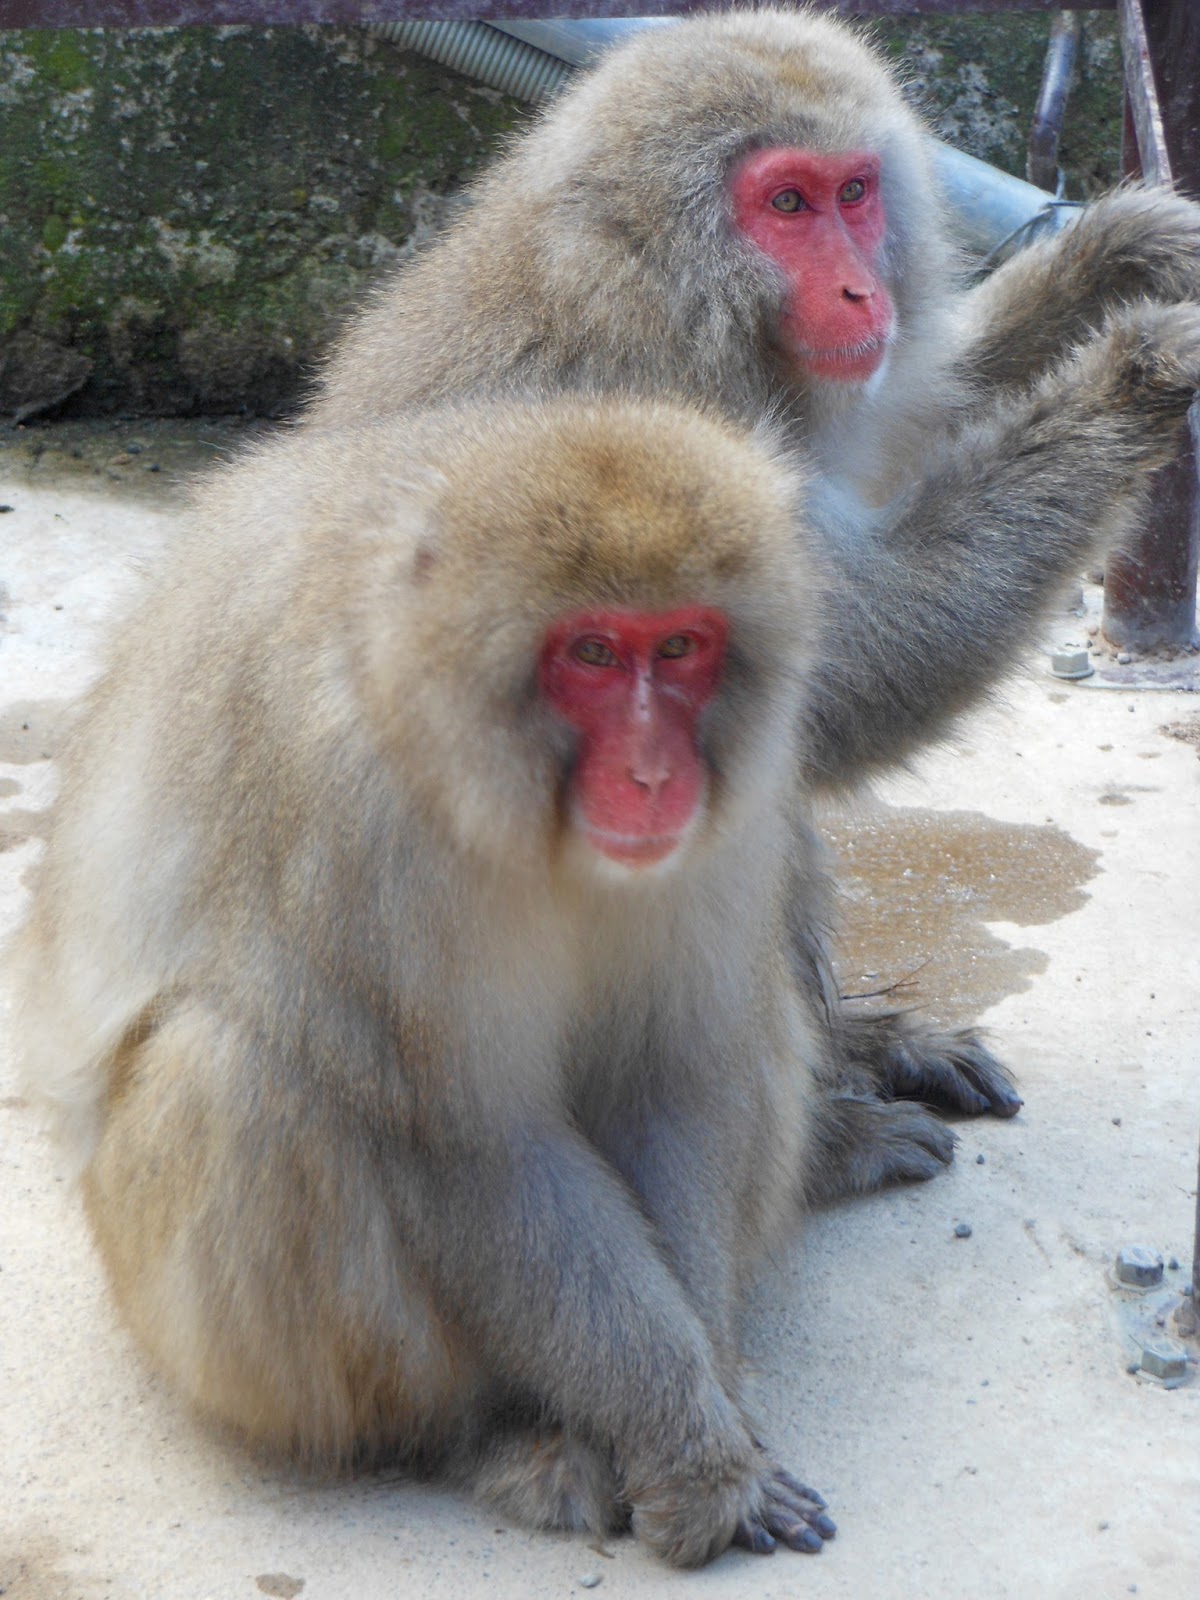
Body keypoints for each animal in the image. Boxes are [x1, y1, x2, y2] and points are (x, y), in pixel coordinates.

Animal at [13, 308, 1200, 1561]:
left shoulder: (738, 783)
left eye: (679, 648)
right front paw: (696, 1453)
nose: (650, 773)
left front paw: (713, 1412)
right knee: (242, 1079)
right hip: (196, 1333)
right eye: (591, 653)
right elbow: (475, 1148)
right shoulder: (351, 815)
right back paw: (484, 1432)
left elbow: (671, 1077)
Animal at [306, 7, 1200, 1164]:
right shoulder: (648, 420)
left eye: (854, 192)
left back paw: (854, 1048)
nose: (862, 290)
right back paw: (822, 1148)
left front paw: (1119, 250)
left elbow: (915, 411)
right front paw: (1145, 365)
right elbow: (847, 675)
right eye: (786, 204)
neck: (656, 293)